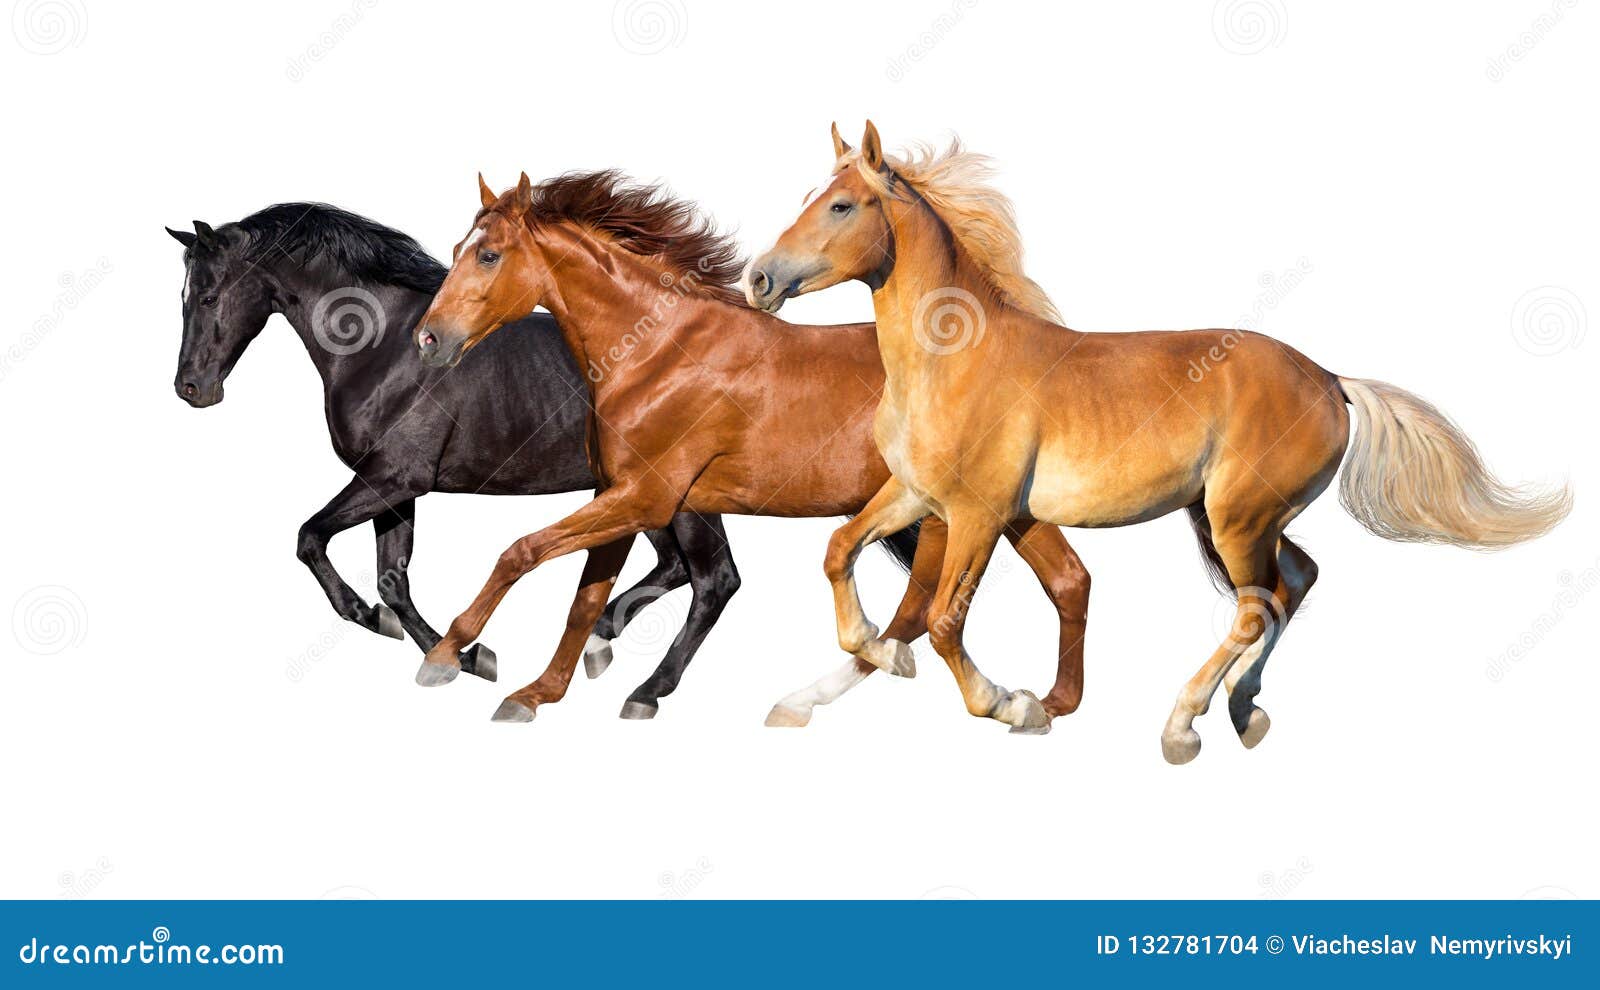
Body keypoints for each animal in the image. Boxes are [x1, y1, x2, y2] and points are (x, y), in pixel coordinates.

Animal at [166, 204, 818, 718]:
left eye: (208, 294)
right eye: (182, 296)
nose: (191, 389)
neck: (386, 348)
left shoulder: (391, 478)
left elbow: (310, 538)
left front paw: (413, 636)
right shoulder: (399, 489)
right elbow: (393, 580)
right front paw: (466, 656)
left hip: (675, 498)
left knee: (715, 579)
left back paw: (643, 691)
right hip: (646, 499)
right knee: (680, 570)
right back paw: (601, 646)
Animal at [410, 171, 1091, 730]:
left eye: (489, 254)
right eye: (457, 250)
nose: (428, 339)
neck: (655, 351)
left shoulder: (644, 498)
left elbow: (521, 553)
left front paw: (447, 657)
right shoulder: (619, 493)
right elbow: (586, 600)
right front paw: (537, 693)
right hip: (993, 511)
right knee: (1054, 583)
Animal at [745, 122, 1571, 762]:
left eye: (842, 204)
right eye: (807, 197)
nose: (758, 279)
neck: (953, 359)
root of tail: (1331, 379)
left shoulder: (978, 514)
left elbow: (947, 624)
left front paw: (1015, 704)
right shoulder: (919, 495)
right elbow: (840, 552)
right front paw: (879, 650)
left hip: (1238, 519)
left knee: (1256, 607)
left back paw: (1184, 728)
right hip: (1236, 517)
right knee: (1294, 583)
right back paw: (1243, 711)